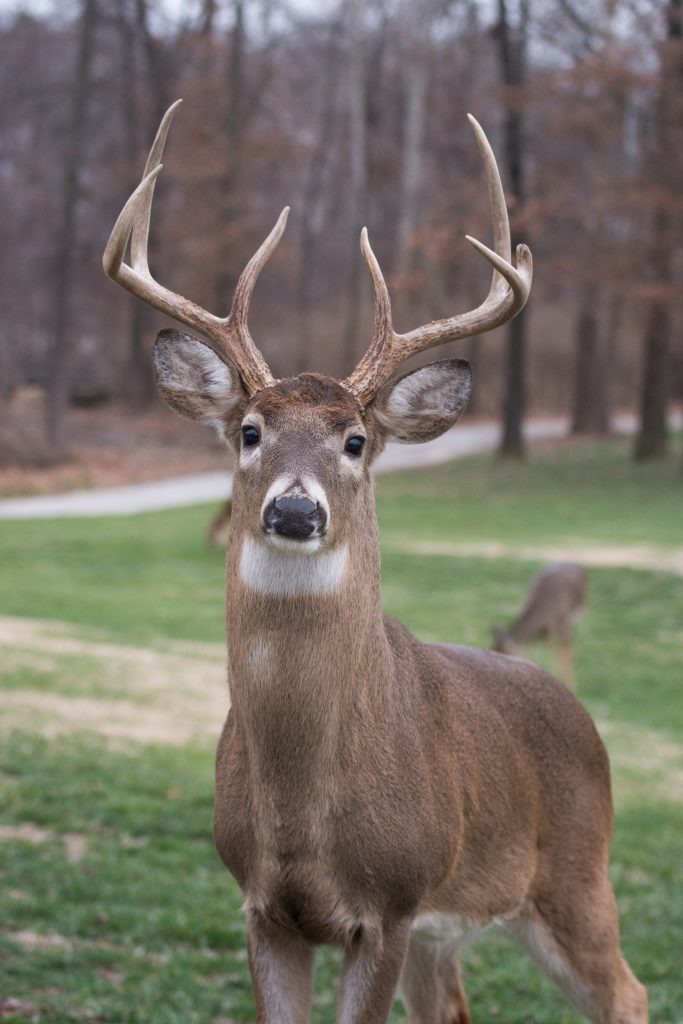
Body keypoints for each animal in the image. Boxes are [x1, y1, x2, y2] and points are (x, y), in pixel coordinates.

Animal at [492, 562, 588, 691]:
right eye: (492, 648)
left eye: (506, 652)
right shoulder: (535, 635)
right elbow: (530, 650)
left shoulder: (564, 624)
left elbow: (564, 653)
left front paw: (570, 684)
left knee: (566, 648)